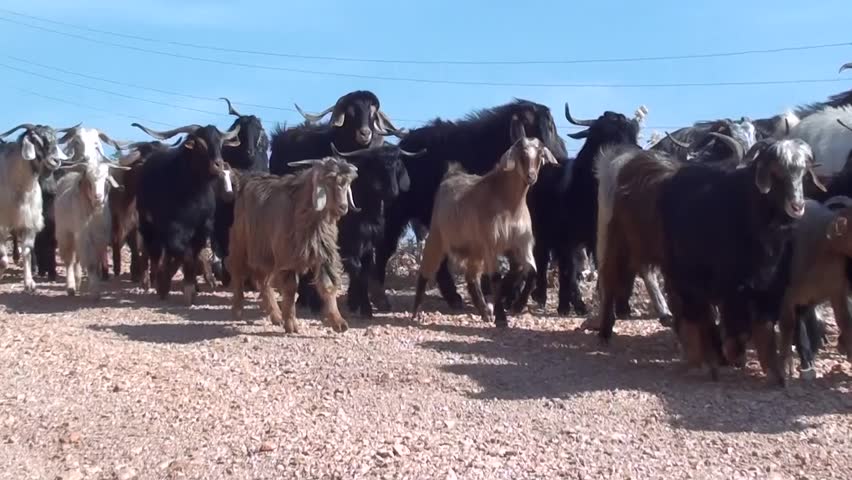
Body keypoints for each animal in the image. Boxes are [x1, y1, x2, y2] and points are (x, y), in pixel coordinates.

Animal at [0, 123, 71, 291]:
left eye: (55, 139)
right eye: (36, 141)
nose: (55, 161)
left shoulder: (28, 221)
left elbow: (26, 251)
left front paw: (29, 283)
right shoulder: (2, 222)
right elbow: (3, 259)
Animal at [133, 122, 238, 305]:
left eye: (220, 142)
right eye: (200, 143)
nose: (218, 165)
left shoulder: (202, 231)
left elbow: (193, 256)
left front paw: (190, 286)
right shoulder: (174, 230)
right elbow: (186, 256)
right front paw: (184, 289)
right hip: (148, 224)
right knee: (155, 252)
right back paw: (157, 281)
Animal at [227, 157, 359, 333]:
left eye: (347, 183)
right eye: (329, 180)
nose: (343, 207)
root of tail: (246, 179)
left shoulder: (325, 255)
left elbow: (328, 285)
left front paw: (338, 323)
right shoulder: (287, 257)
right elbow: (290, 290)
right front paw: (291, 324)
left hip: (266, 251)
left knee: (263, 280)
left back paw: (275, 315)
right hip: (242, 241)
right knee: (237, 270)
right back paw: (238, 309)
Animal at [411, 118, 558, 327]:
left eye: (539, 154)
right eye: (521, 154)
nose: (531, 177)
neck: (509, 204)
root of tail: (452, 174)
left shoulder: (521, 244)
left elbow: (528, 271)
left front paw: (512, 304)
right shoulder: (491, 244)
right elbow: (496, 278)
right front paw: (501, 317)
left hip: (474, 248)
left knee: (471, 277)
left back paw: (484, 311)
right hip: (437, 237)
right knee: (426, 270)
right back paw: (415, 311)